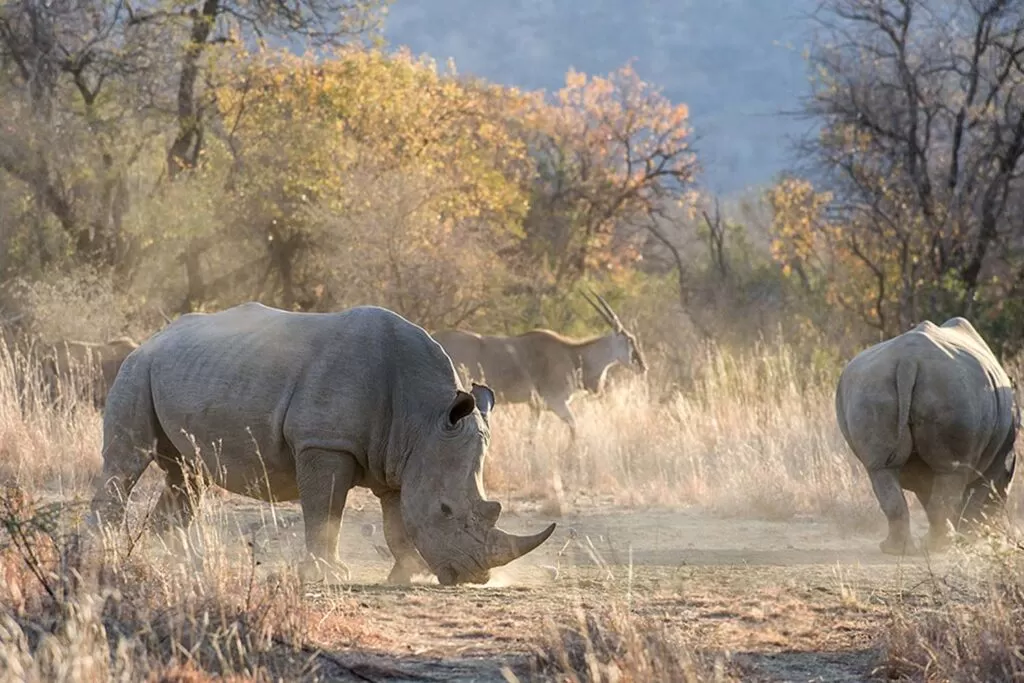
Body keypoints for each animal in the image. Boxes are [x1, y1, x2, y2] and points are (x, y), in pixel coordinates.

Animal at [434, 290, 647, 444]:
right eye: (630, 340)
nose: (643, 366)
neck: (573, 355)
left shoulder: (535, 408)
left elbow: (532, 435)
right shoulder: (556, 403)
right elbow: (574, 427)